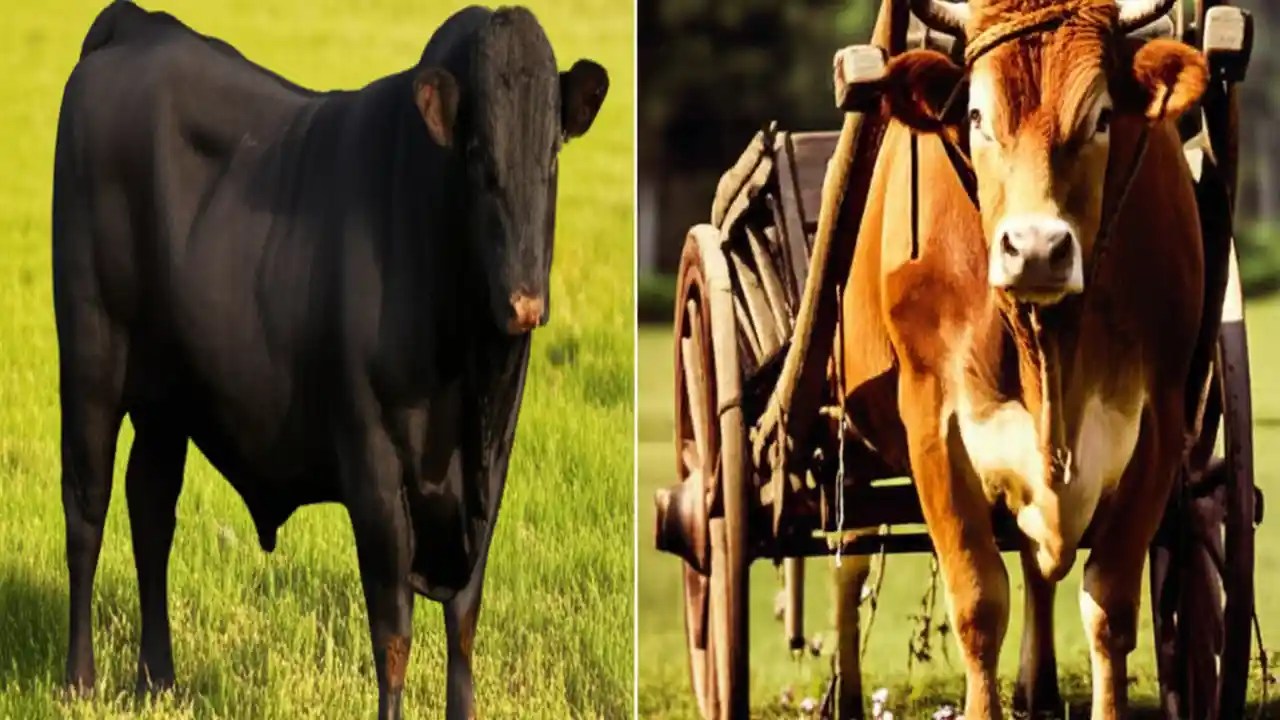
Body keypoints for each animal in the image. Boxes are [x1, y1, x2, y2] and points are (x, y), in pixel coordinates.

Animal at [51, 2, 607, 718]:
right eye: (478, 157)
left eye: (552, 155)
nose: (524, 301)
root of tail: (139, 24)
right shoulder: (373, 461)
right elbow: (392, 632)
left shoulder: (492, 468)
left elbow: (463, 619)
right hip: (89, 359)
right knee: (86, 509)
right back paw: (80, 678)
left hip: (165, 396)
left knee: (150, 506)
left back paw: (158, 678)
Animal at [826, 1, 1206, 718]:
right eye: (977, 117)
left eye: (1102, 117)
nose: (1034, 249)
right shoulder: (931, 423)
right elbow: (978, 601)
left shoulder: (1161, 417)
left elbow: (1108, 605)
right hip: (849, 443)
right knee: (849, 560)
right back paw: (848, 696)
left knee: (1037, 564)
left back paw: (1039, 686)